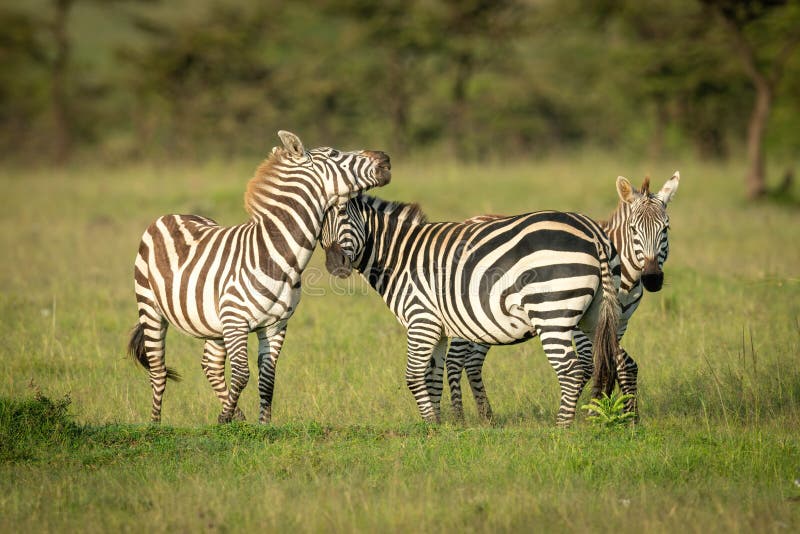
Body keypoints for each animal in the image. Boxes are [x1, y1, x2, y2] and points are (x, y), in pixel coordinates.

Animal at [127, 131, 391, 424]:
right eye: (335, 153)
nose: (386, 157)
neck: (278, 256)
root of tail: (172, 215)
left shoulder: (275, 325)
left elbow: (267, 378)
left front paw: (260, 425)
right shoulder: (236, 321)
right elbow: (242, 374)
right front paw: (224, 419)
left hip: (213, 324)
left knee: (211, 365)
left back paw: (237, 416)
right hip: (151, 308)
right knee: (159, 371)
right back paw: (155, 423)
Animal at [320, 194, 622, 426]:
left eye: (344, 215)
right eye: (320, 223)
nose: (335, 265)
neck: (400, 255)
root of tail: (592, 232)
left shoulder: (421, 320)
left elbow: (414, 376)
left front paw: (430, 427)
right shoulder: (439, 329)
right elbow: (433, 377)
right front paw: (443, 427)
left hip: (551, 312)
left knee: (571, 370)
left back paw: (562, 428)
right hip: (599, 315)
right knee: (605, 361)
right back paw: (597, 418)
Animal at [444, 172, 680, 421]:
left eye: (666, 229)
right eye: (634, 229)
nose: (652, 278)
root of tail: (472, 219)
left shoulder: (618, 323)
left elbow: (612, 362)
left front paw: (623, 414)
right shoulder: (579, 324)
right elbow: (590, 365)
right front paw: (593, 413)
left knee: (472, 361)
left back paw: (486, 417)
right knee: (455, 360)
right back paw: (459, 418)